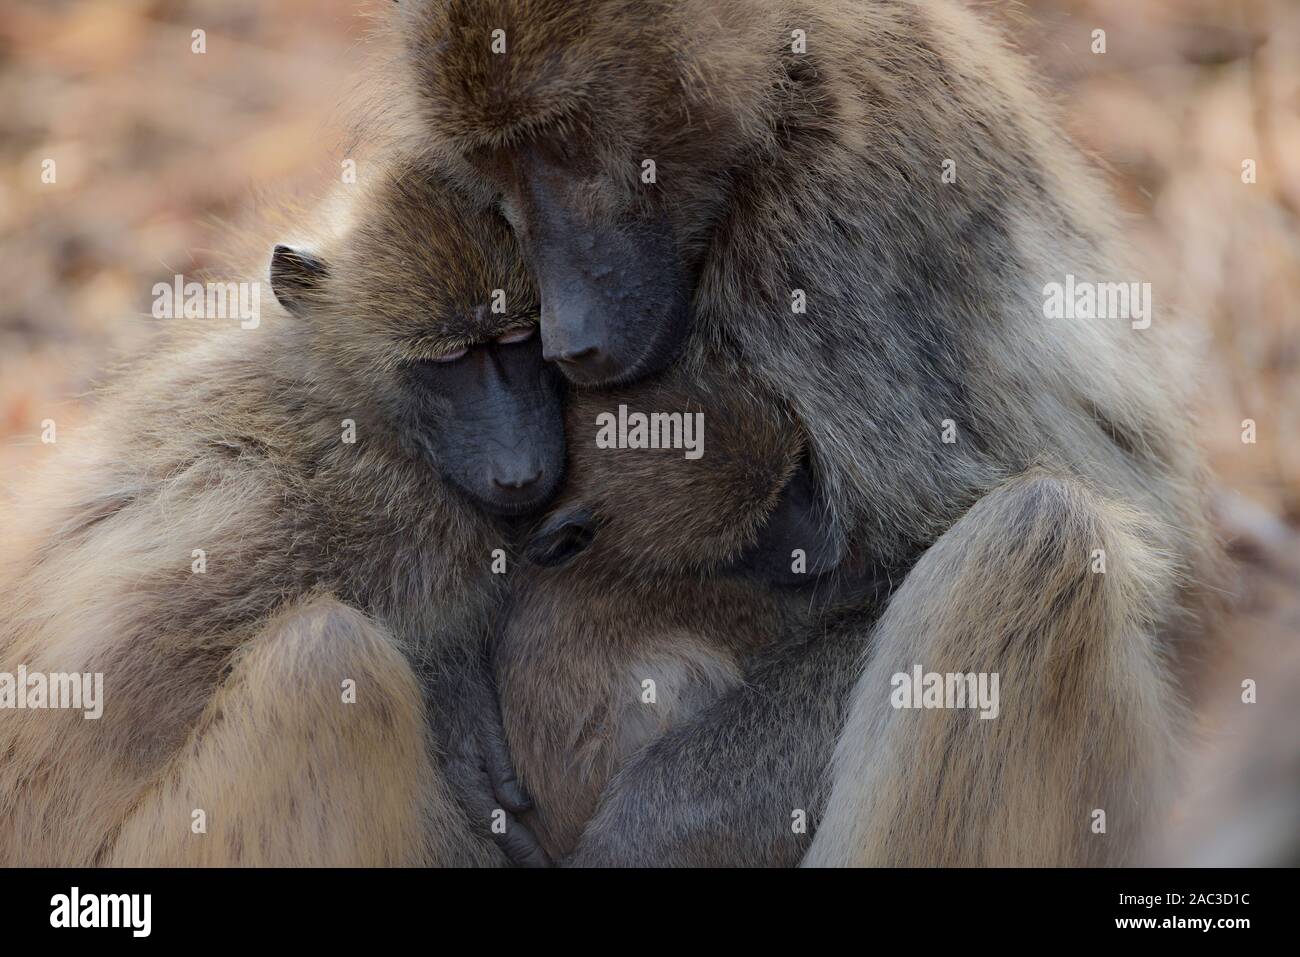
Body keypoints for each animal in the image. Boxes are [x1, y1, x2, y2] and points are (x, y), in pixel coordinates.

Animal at [0, 153, 566, 866]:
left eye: (519, 335)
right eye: (450, 357)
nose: (520, 466)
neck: (338, 394)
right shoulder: (394, 517)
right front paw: (456, 699)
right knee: (328, 661)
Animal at [385, 0, 1220, 864]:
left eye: (562, 141)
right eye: (499, 160)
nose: (568, 335)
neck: (783, 88)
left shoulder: (822, 243)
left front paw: (639, 834)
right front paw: (449, 691)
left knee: (1038, 535)